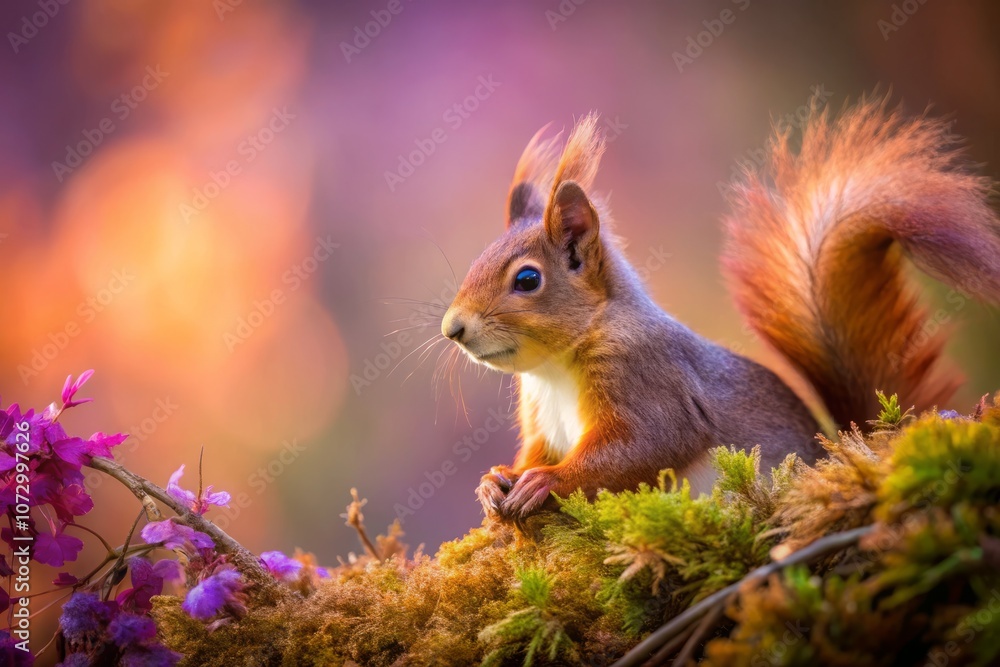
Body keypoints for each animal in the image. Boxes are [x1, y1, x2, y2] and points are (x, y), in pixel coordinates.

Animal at [440, 99, 1000, 523]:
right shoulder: (541, 416)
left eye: (527, 280)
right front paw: (496, 480)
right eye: (476, 259)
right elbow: (536, 451)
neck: (557, 365)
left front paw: (545, 482)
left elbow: (645, 445)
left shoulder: (646, 376)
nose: (452, 329)